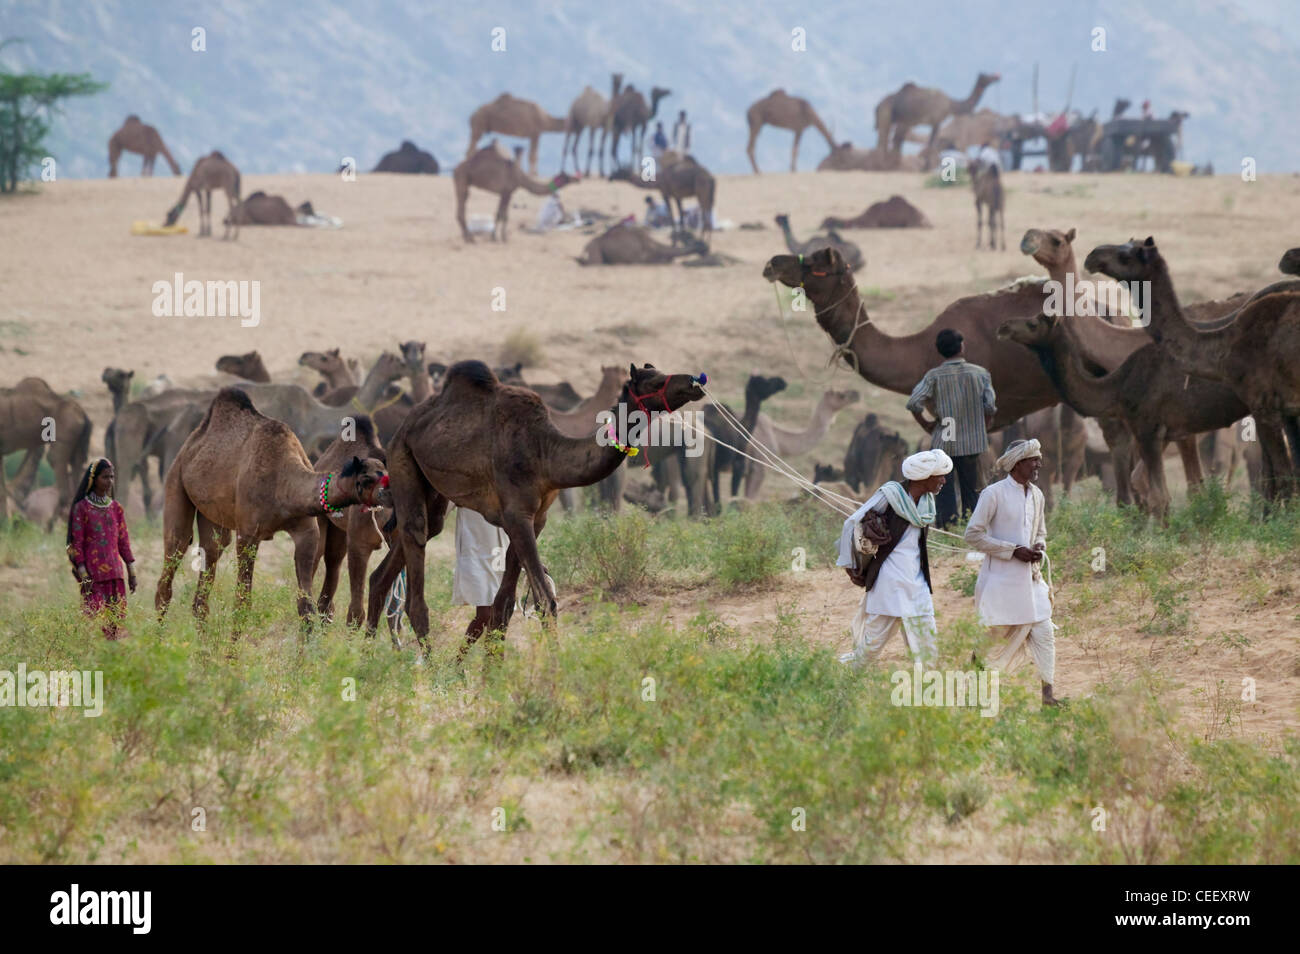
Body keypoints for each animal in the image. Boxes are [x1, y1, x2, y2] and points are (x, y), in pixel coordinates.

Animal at [155, 388, 391, 626]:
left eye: (385, 473)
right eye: (367, 479)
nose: (389, 495)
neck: (283, 481)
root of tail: (191, 443)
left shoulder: (306, 530)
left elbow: (306, 607)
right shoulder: (248, 534)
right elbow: (242, 604)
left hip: (213, 517)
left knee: (210, 559)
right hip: (176, 480)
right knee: (173, 555)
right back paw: (159, 633)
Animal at [364, 361, 706, 651]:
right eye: (655, 381)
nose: (695, 382)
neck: (545, 453)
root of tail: (406, 424)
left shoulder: (534, 519)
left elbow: (503, 607)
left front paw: (494, 676)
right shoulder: (518, 516)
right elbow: (545, 601)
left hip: (434, 489)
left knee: (392, 564)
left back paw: (364, 654)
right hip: (402, 457)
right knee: (415, 553)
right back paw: (430, 669)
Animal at [998, 312, 1252, 518]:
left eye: (1033, 324)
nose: (1003, 327)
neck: (1117, 387)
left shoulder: (1148, 431)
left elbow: (1160, 496)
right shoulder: (1171, 433)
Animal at [1087, 238, 1300, 500]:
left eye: (1126, 256)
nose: (1093, 255)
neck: (1225, 345)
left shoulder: (1263, 404)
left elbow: (1284, 477)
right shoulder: (1286, 408)